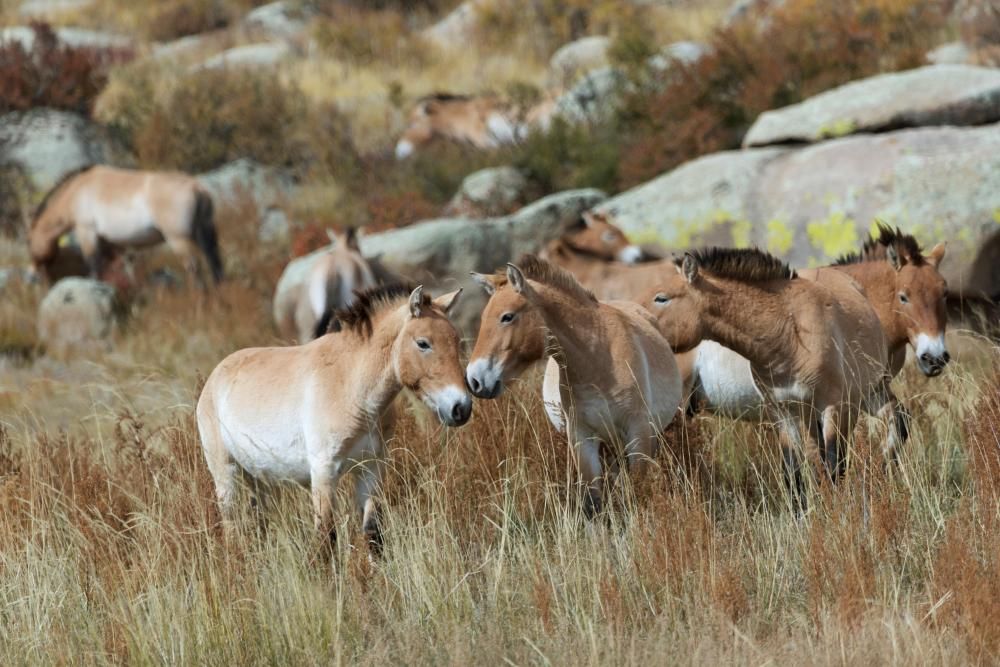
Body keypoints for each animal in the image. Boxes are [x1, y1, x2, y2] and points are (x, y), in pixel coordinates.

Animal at [28, 165, 223, 286]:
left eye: (28, 241)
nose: (31, 276)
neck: (77, 191)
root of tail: (196, 187)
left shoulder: (87, 232)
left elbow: (94, 266)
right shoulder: (113, 245)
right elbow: (126, 270)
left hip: (178, 239)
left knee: (194, 269)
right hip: (205, 235)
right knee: (215, 264)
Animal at [197, 284, 471, 555]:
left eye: (456, 340)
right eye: (423, 343)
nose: (461, 407)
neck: (351, 385)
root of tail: (215, 376)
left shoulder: (370, 469)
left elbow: (373, 535)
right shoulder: (324, 472)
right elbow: (326, 540)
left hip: (259, 478)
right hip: (226, 473)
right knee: (232, 527)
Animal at [466, 255, 682, 517]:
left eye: (507, 317)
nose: (475, 380)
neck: (599, 359)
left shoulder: (638, 431)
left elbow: (638, 491)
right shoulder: (582, 437)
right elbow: (593, 501)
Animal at [638, 247, 893, 486]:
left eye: (661, 298)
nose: (638, 321)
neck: (789, 336)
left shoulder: (832, 407)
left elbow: (833, 467)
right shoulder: (784, 414)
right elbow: (793, 474)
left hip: (869, 392)